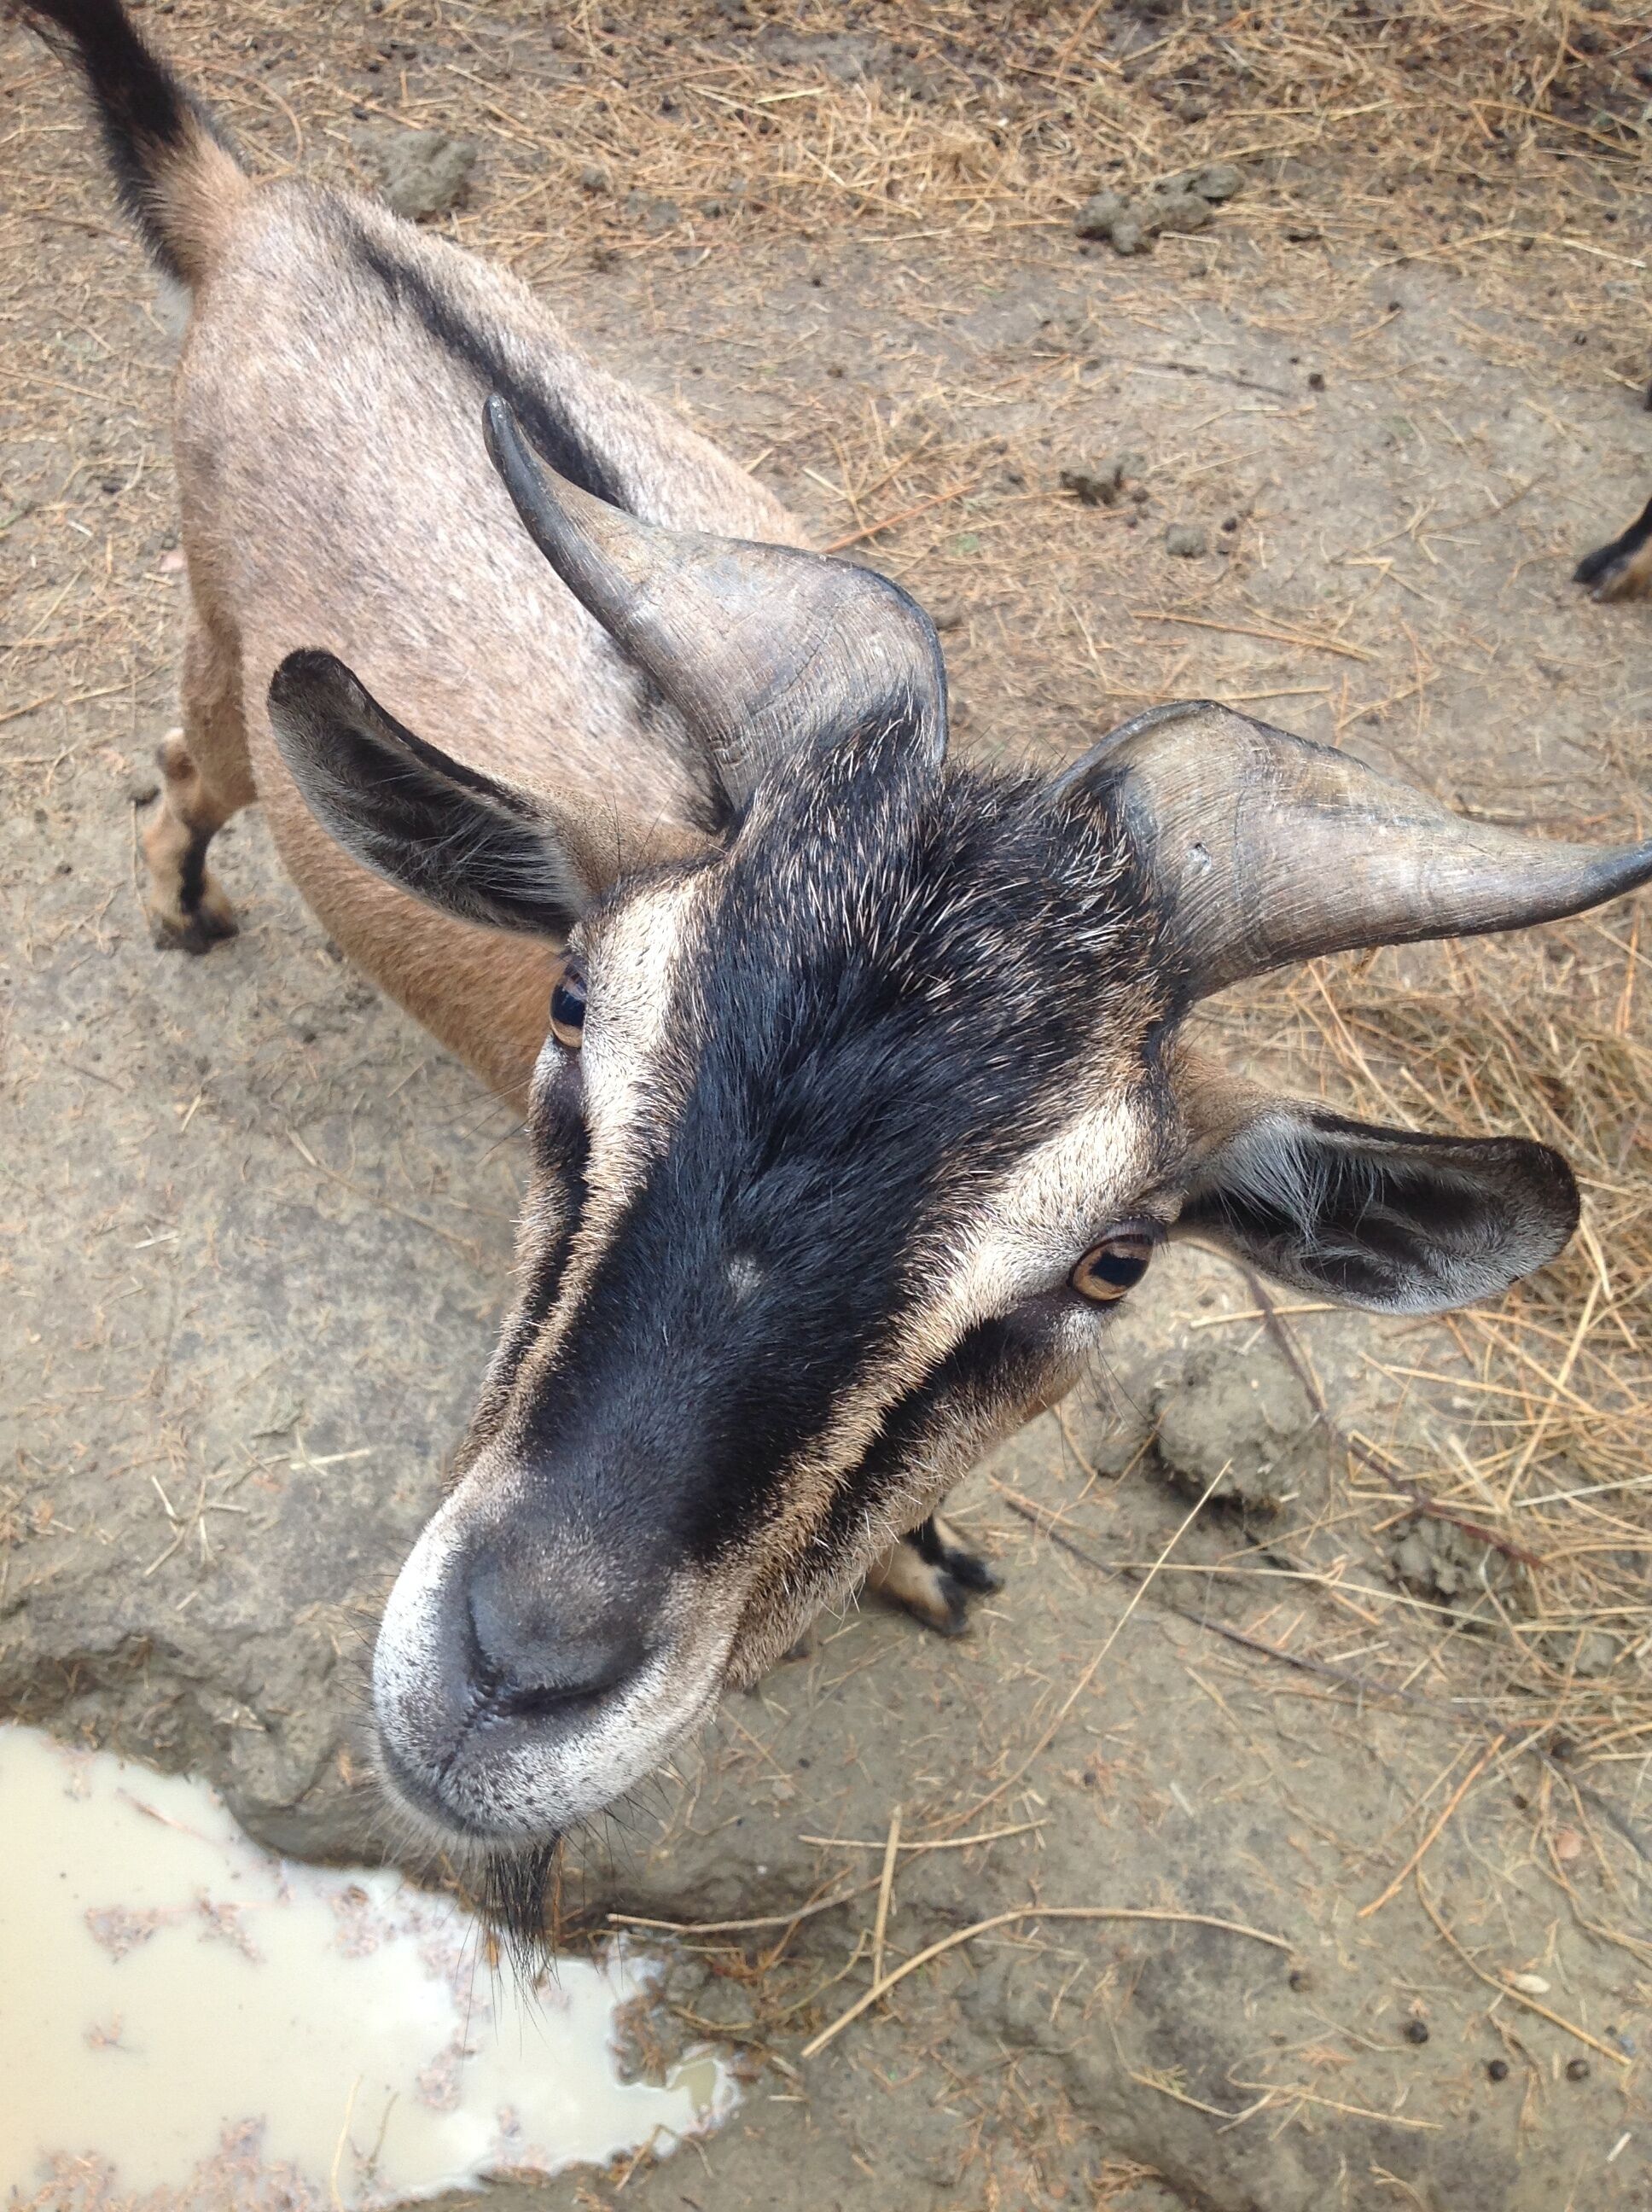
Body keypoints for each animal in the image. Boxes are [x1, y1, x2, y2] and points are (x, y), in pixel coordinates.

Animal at [18, 0, 1652, 1925]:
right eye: (577, 1003)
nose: (510, 1676)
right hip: (217, 629)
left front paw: (929, 1556)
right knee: (196, 761)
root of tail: (264, 216)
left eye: (1114, 1259)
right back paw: (183, 904)